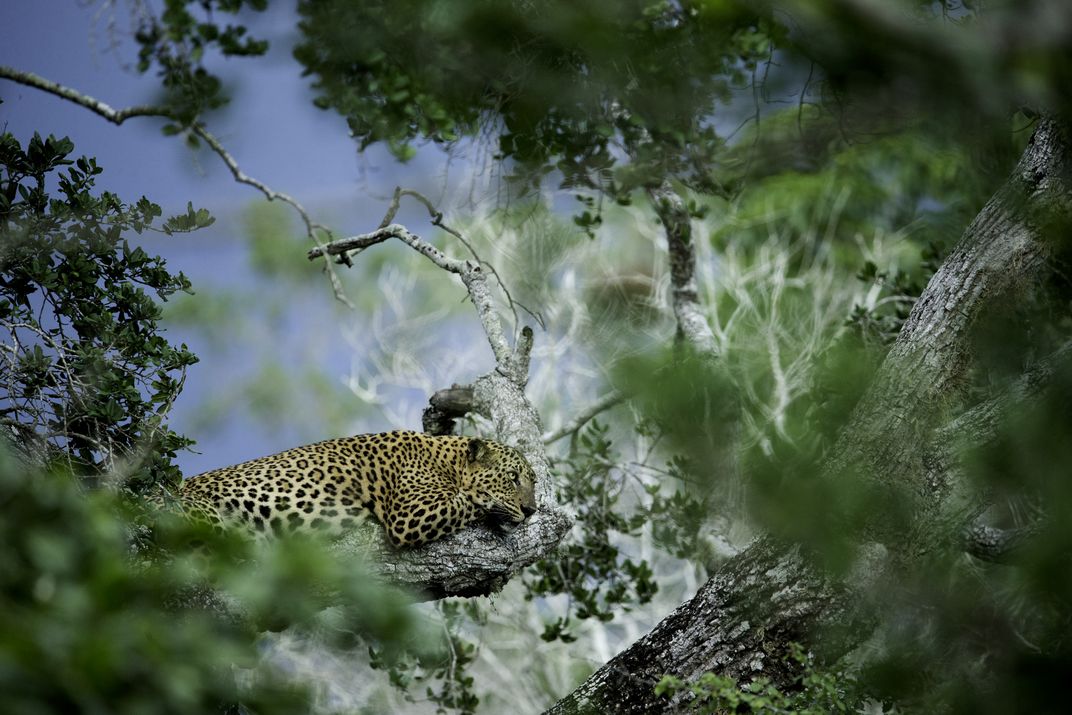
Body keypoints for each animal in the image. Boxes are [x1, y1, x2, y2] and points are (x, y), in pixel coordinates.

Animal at [174, 430, 538, 548]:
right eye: (513, 477)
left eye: (533, 482)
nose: (532, 510)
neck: (447, 461)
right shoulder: (410, 515)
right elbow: (469, 501)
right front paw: (491, 505)